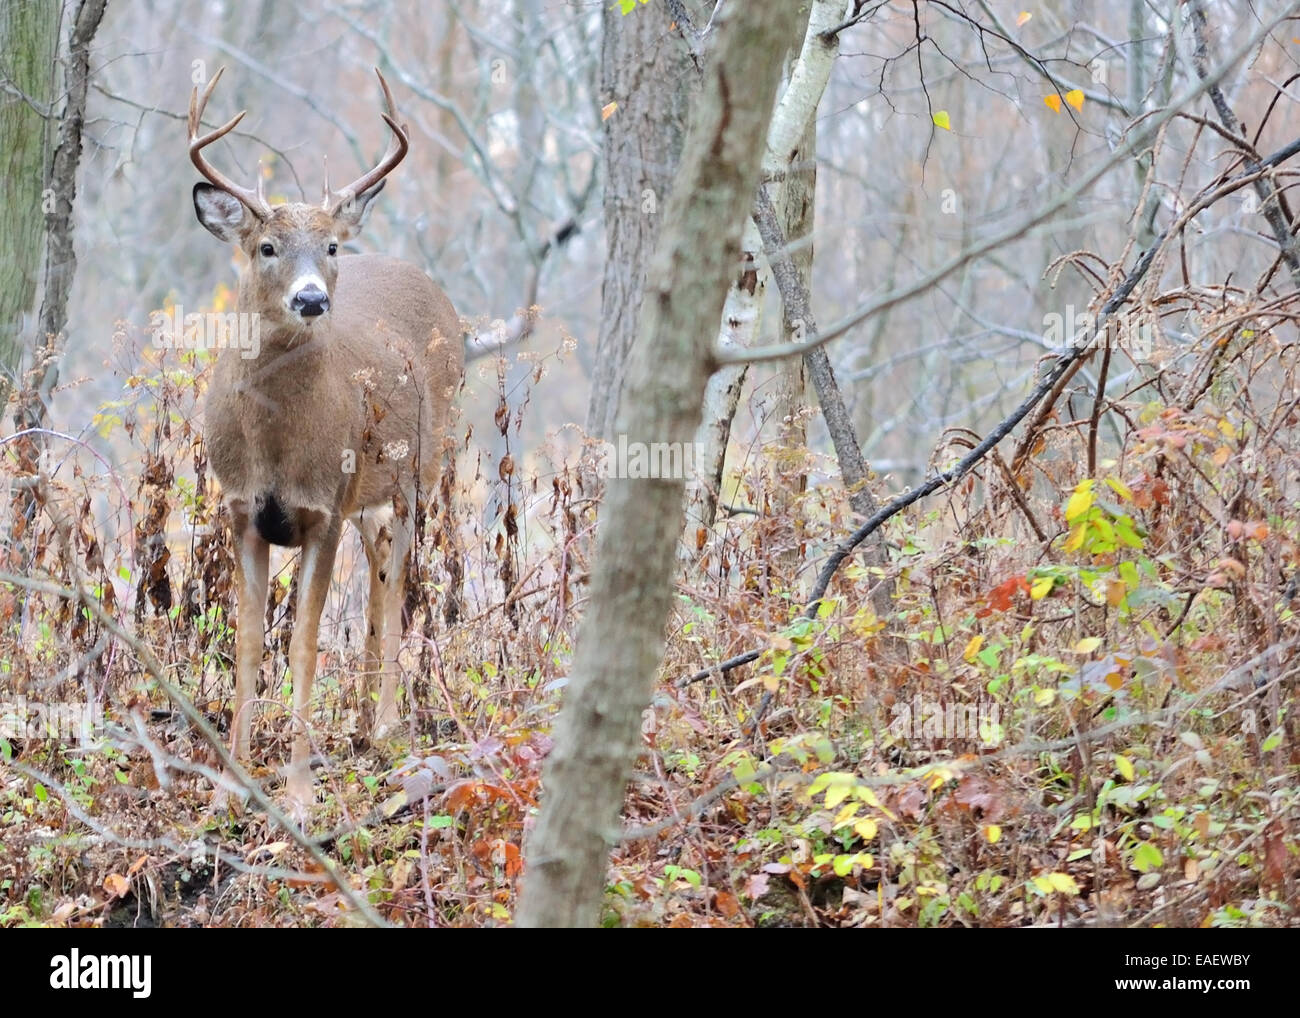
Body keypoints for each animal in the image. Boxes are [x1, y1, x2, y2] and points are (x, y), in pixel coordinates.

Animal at [188, 67, 463, 815]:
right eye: (266, 247)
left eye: (331, 248)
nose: (312, 299)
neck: (275, 447)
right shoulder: (241, 509)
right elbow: (250, 642)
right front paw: (231, 788)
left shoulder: (322, 509)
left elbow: (305, 644)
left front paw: (299, 795)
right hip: (371, 494)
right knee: (379, 575)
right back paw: (364, 721)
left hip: (421, 470)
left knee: (397, 586)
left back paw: (389, 723)